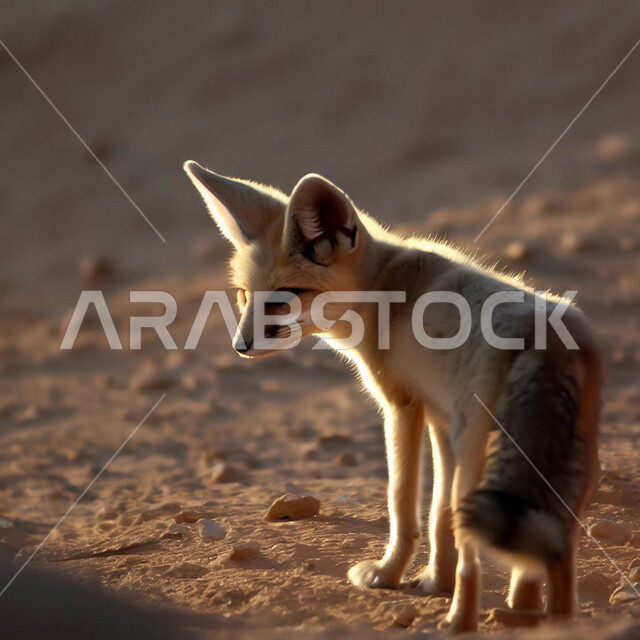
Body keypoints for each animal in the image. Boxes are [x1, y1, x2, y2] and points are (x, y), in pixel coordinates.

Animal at [183, 161, 601, 633]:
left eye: (283, 299)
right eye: (243, 295)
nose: (240, 346)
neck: (381, 287)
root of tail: (542, 336)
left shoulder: (401, 409)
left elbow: (402, 504)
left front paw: (388, 575)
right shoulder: (440, 421)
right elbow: (439, 518)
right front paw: (434, 581)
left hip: (480, 464)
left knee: (477, 561)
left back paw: (459, 622)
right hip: (563, 471)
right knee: (558, 554)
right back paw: (538, 618)